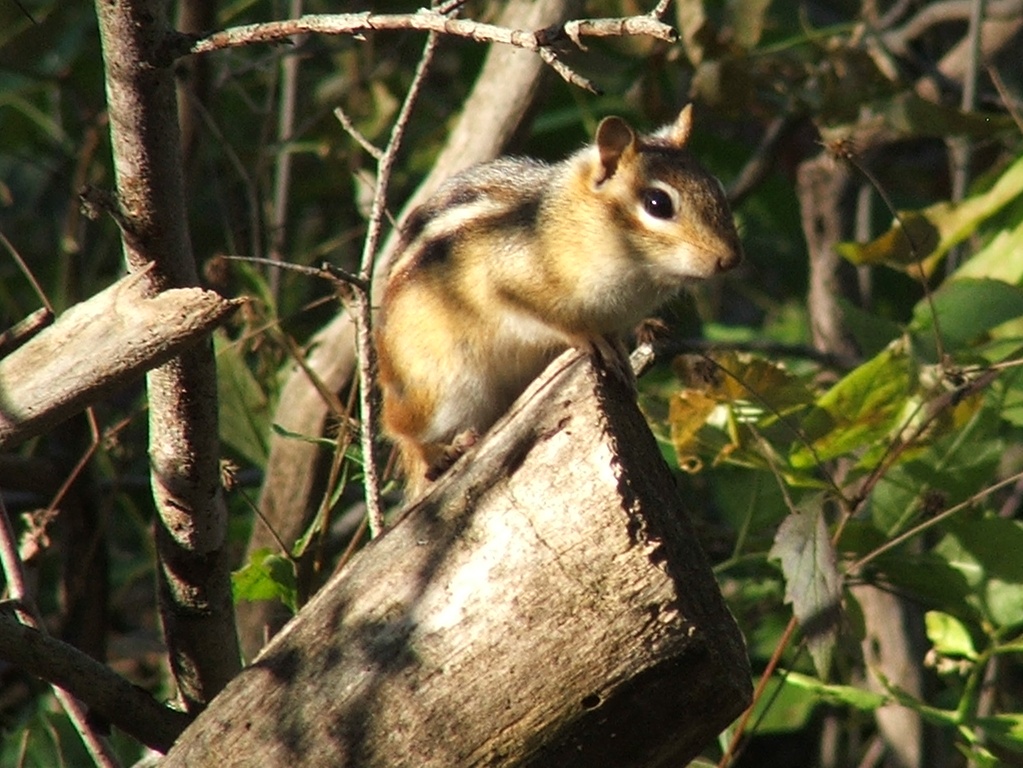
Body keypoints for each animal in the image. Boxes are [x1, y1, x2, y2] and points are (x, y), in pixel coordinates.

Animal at [376, 105, 743, 495]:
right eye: (657, 204)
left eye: (716, 186)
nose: (731, 259)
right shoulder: (504, 284)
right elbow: (543, 318)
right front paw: (589, 338)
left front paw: (625, 360)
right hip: (440, 388)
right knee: (403, 431)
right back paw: (441, 452)